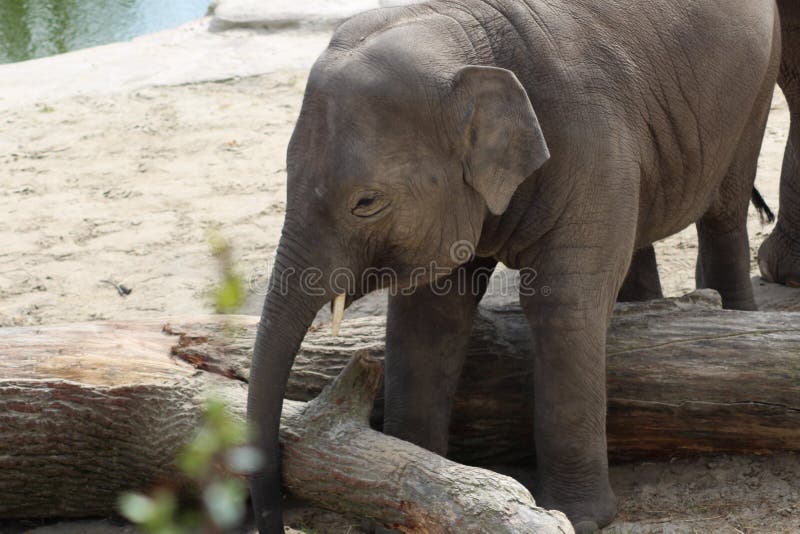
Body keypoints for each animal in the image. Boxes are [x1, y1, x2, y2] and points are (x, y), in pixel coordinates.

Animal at [247, 0, 781, 532]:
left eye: (366, 203)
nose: (273, 518)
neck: (471, 36)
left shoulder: (592, 141)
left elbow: (564, 308)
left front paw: (576, 517)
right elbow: (428, 319)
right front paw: (405, 490)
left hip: (756, 87)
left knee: (725, 209)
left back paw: (737, 323)